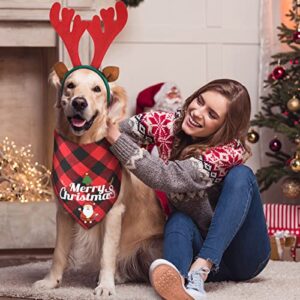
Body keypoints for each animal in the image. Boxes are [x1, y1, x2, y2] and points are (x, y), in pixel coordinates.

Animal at [33, 64, 165, 296]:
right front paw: (51, 282)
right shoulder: (64, 210)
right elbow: (59, 252)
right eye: (70, 85)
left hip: (152, 245)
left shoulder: (113, 211)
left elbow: (107, 254)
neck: (83, 147)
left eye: (97, 89)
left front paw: (105, 285)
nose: (79, 102)